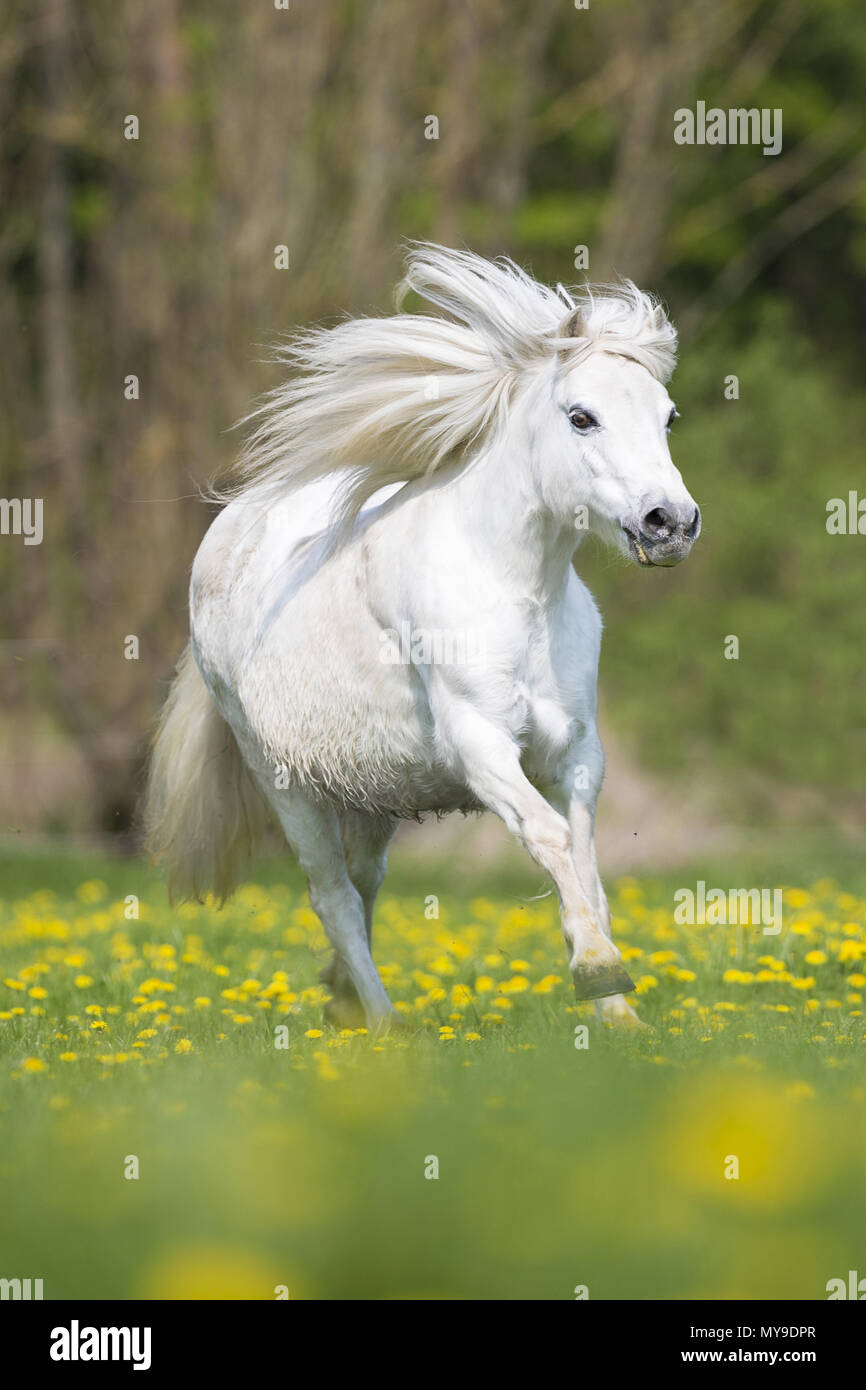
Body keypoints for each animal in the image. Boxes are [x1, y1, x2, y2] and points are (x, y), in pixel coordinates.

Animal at [143, 243, 701, 1032]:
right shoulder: (482, 747)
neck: (517, 592)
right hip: (286, 783)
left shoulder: (577, 752)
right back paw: (383, 1025)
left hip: (369, 791)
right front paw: (597, 972)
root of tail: (227, 531)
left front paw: (620, 1014)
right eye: (582, 417)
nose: (670, 523)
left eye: (668, 416)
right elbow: (551, 838)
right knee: (334, 898)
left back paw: (344, 1000)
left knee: (365, 881)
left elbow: (588, 865)